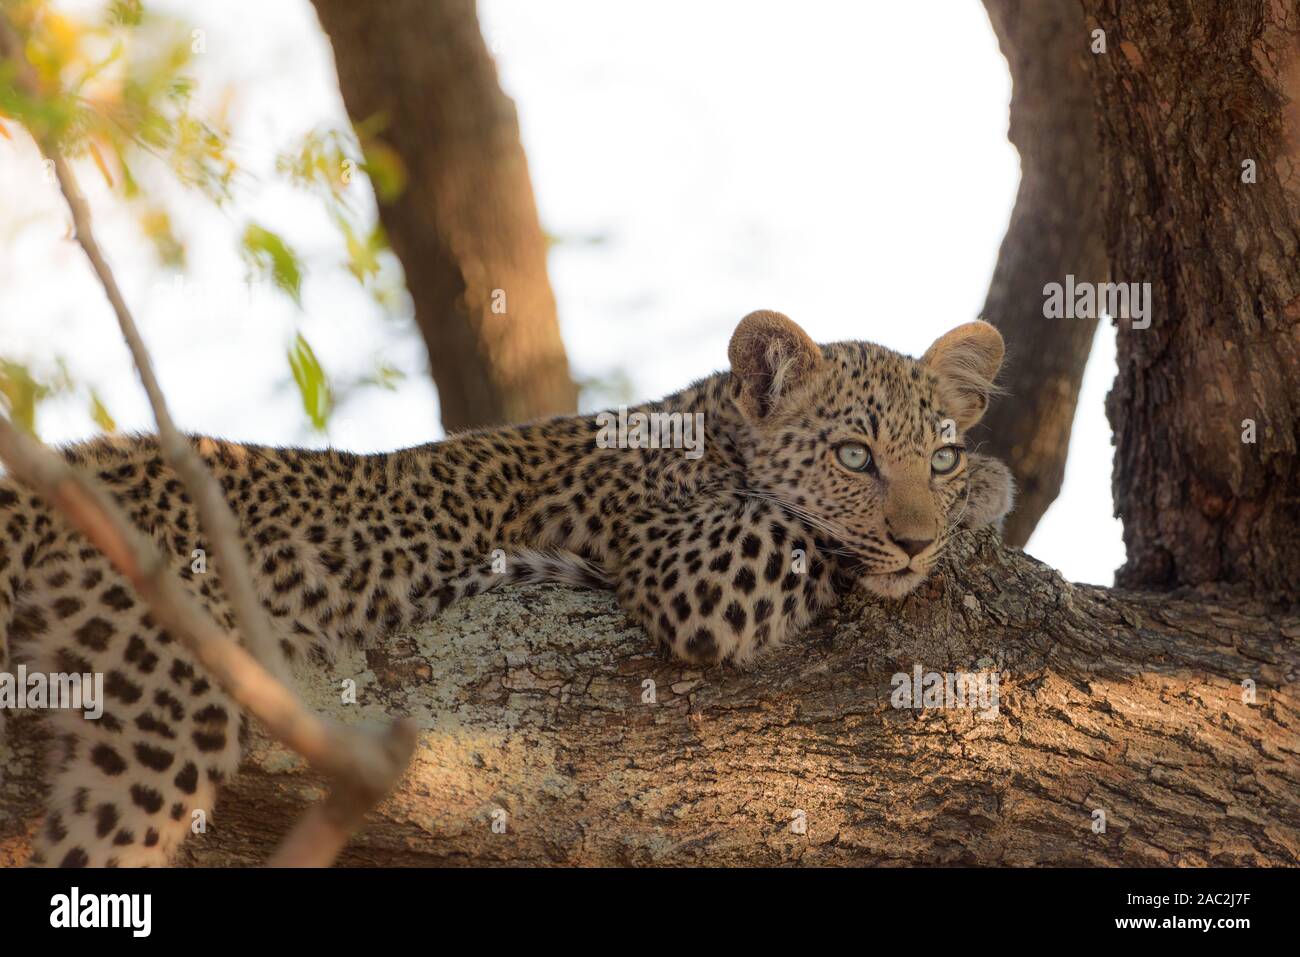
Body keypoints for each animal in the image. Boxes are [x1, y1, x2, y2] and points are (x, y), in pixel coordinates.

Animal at [0, 310, 1014, 867]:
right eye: (853, 456)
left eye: (936, 455)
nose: (916, 539)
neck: (712, 422)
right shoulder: (689, 561)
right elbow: (803, 523)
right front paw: (989, 492)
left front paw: (976, 488)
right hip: (168, 701)